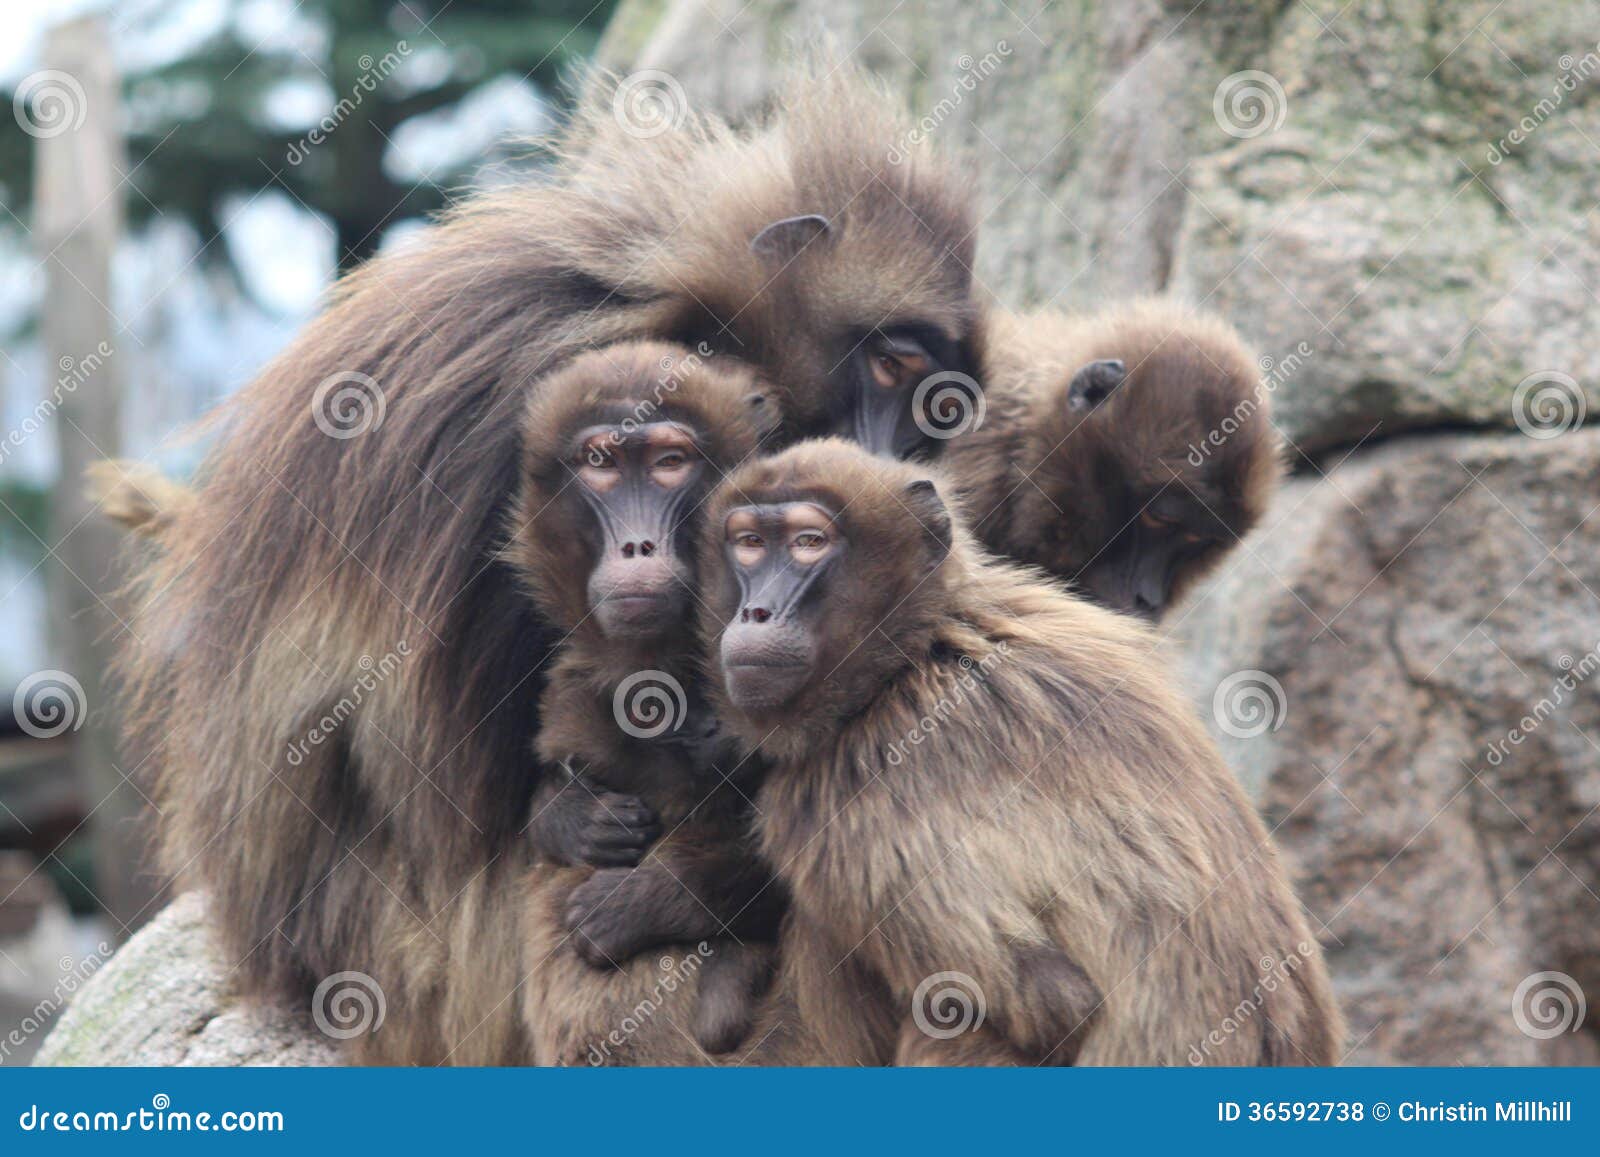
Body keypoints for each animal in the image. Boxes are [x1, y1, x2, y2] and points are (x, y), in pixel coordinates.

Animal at [502, 340, 786, 1064]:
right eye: (601, 462)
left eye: (669, 462)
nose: (636, 545)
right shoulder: (573, 687)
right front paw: (567, 816)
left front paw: (657, 898)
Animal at [698, 439, 1342, 1066]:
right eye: (750, 545)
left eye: (809, 543)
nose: (756, 612)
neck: (916, 648)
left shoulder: (849, 799)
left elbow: (1051, 1002)